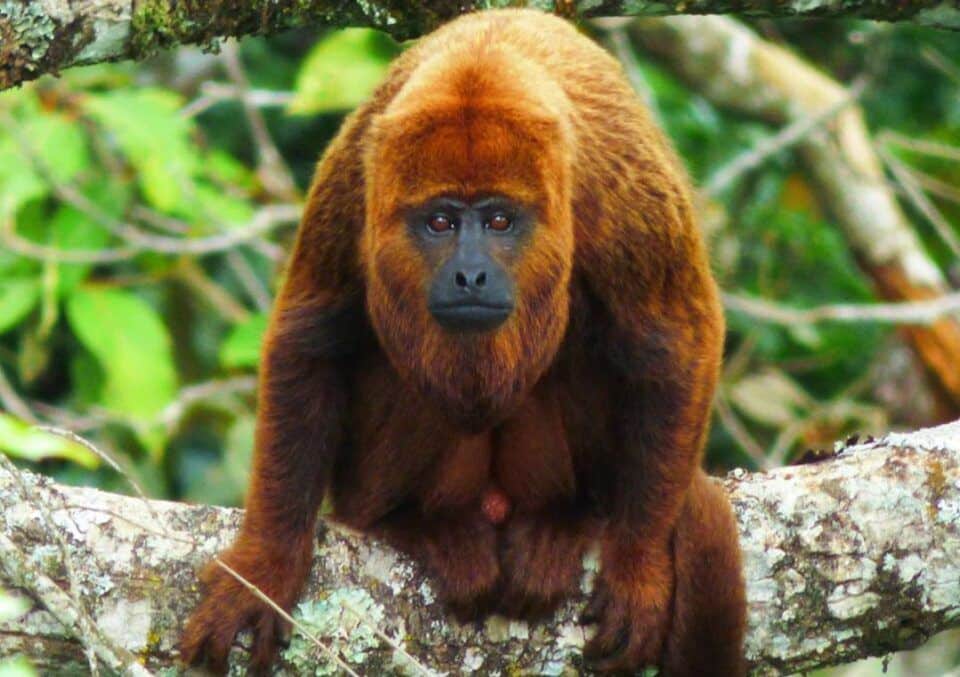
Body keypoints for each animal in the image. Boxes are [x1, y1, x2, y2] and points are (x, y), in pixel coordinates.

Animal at [180, 9, 746, 675]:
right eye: (441, 221)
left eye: (499, 220)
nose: (469, 275)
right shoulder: (357, 172)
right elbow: (312, 335)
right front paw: (265, 569)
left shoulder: (621, 187)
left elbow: (675, 339)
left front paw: (637, 568)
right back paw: (420, 523)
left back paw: (564, 518)